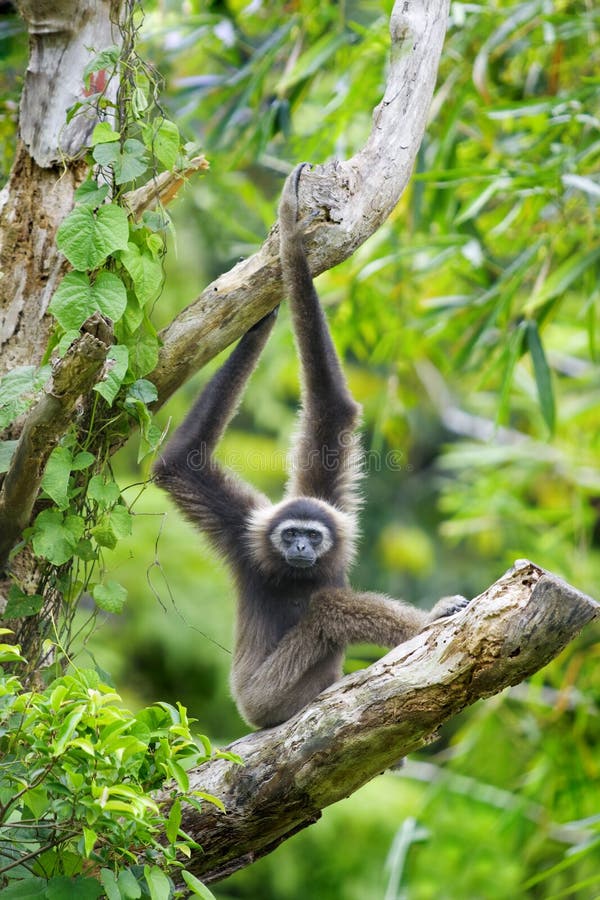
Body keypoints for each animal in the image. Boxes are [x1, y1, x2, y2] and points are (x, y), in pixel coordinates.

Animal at [153, 163, 468, 729]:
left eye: (313, 536)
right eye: (292, 534)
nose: (300, 548)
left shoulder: (299, 508)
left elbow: (329, 407)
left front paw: (267, 308)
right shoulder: (244, 534)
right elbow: (180, 464)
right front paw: (290, 230)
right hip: (266, 697)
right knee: (328, 611)